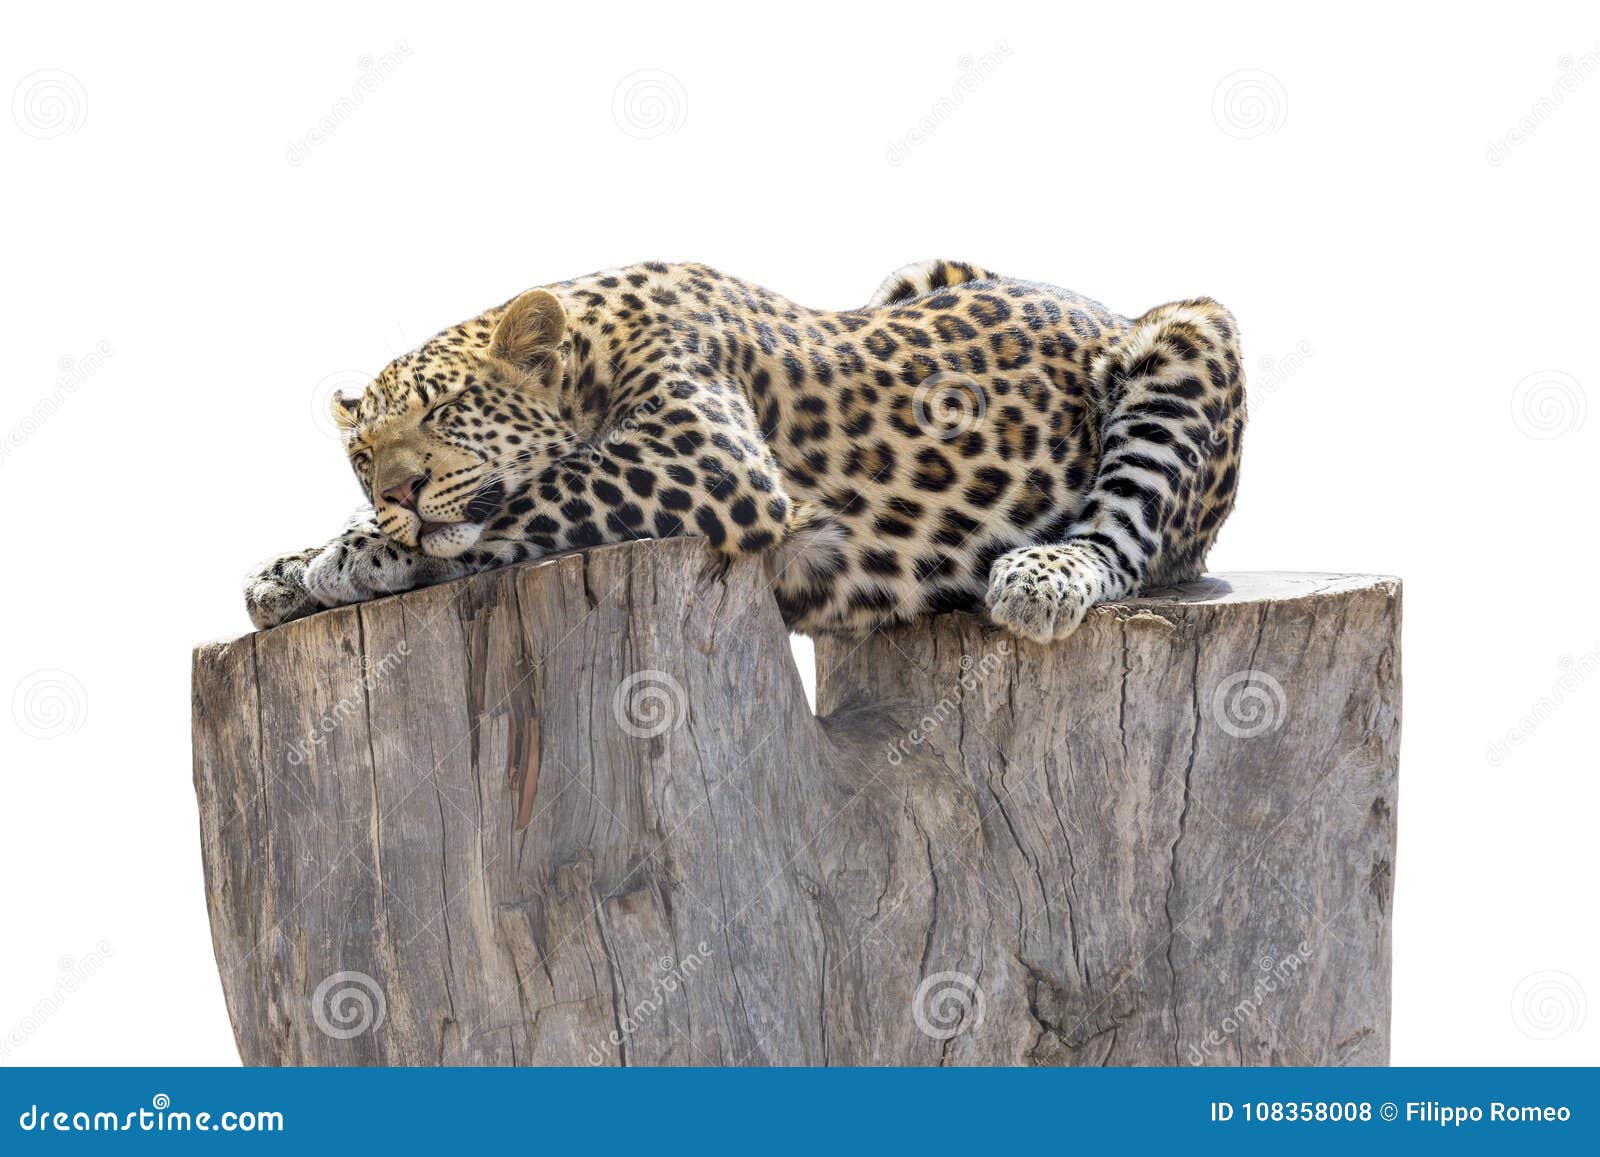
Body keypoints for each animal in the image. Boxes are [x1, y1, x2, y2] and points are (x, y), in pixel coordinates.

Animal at [244, 260, 1246, 645]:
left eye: (449, 409)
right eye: (362, 455)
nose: (400, 491)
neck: (590, 346)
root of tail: (1101, 309)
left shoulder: (703, 457)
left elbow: (541, 492)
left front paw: (353, 555)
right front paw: (290, 567)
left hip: (1194, 329)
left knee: (1125, 541)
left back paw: (1042, 578)